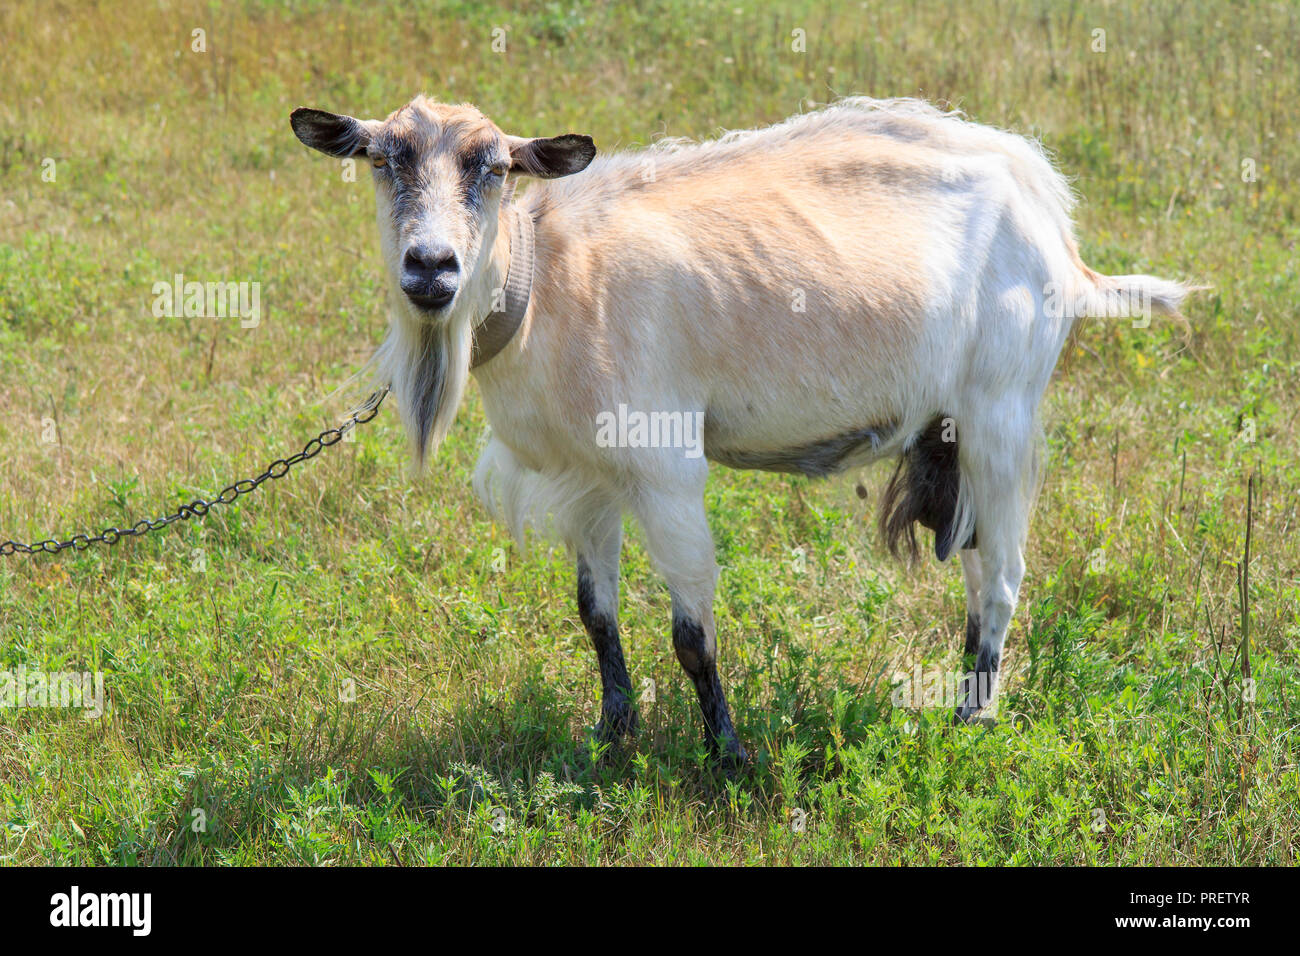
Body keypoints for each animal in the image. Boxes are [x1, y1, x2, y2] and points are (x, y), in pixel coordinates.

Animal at [291, 96, 1191, 765]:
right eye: (383, 160)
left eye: (495, 167)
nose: (429, 268)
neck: (545, 280)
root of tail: (1054, 222)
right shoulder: (588, 476)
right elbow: (596, 616)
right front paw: (611, 738)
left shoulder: (665, 468)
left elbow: (692, 635)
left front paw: (729, 757)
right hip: (954, 434)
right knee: (974, 566)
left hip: (1002, 407)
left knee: (1004, 575)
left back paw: (973, 720)